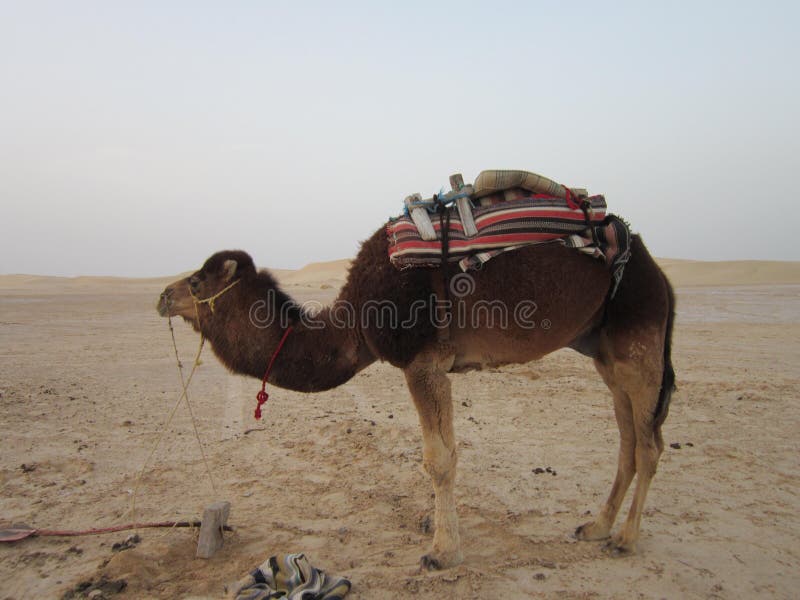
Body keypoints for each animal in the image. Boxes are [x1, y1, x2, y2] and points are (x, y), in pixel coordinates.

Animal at [157, 221, 675, 570]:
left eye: (197, 281)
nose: (162, 295)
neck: (355, 320)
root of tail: (660, 274)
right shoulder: (429, 366)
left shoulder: (423, 364)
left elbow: (439, 460)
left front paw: (442, 553)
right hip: (604, 351)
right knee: (628, 440)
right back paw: (596, 527)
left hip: (638, 335)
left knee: (649, 445)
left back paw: (625, 539)